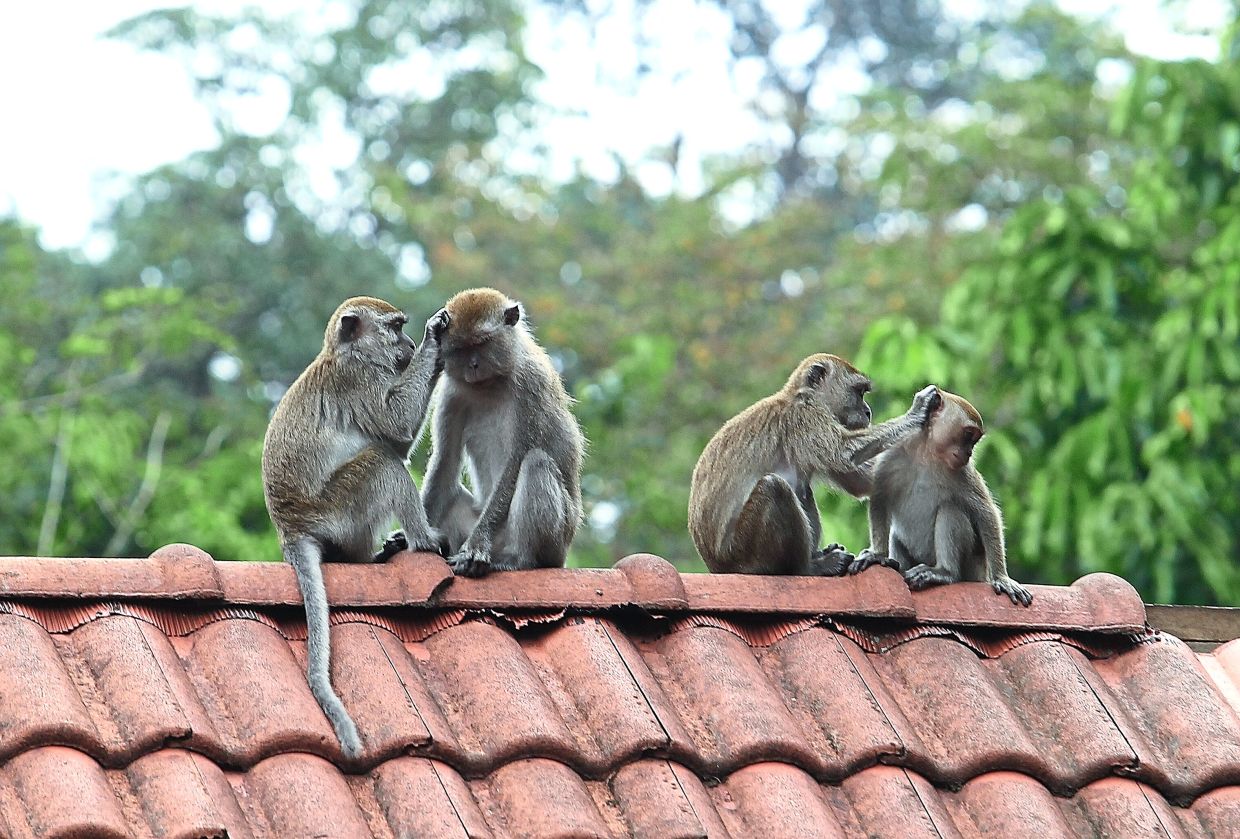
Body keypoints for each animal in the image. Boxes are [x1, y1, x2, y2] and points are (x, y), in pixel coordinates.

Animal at [261, 296, 448, 758]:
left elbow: (398, 435)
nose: (408, 346)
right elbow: (396, 427)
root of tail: (292, 529)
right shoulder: (360, 381)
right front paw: (435, 337)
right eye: (396, 327)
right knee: (383, 461)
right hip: (340, 510)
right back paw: (423, 542)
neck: (347, 354)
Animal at [422, 287, 585, 578]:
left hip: (558, 540)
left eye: (483, 342)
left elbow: (516, 461)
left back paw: (521, 560)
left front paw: (476, 546)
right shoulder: (452, 392)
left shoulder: (532, 384)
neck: (491, 383)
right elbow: (445, 461)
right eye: (462, 349)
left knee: (536, 463)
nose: (473, 366)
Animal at [688, 353, 940, 575]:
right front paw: (917, 412)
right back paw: (809, 567)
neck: (802, 397)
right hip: (741, 553)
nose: (868, 412)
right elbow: (843, 453)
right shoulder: (806, 420)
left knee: (802, 489)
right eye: (858, 392)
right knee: (774, 487)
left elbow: (864, 482)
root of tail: (717, 566)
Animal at [849, 388, 1033, 606]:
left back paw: (944, 572)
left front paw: (1002, 578)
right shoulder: (891, 455)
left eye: (974, 440)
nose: (969, 453)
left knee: (950, 511)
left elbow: (986, 514)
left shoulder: (963, 473)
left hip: (973, 564)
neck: (926, 451)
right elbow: (880, 499)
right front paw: (877, 555)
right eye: (968, 435)